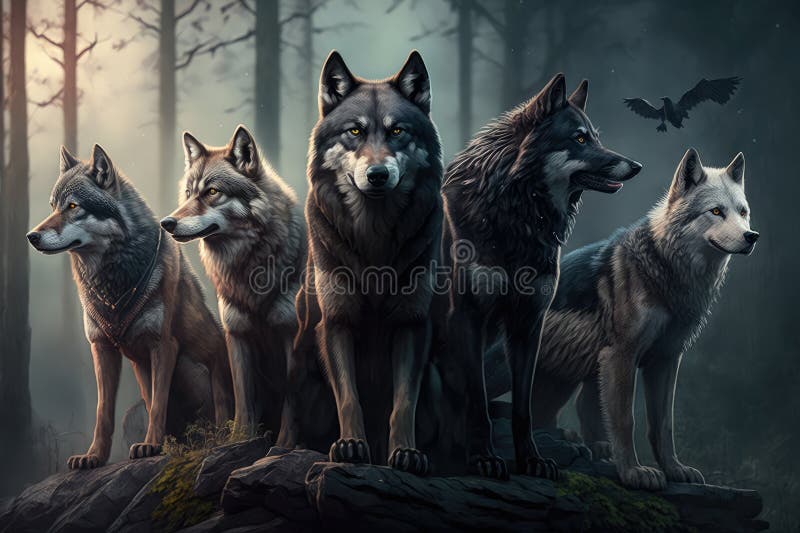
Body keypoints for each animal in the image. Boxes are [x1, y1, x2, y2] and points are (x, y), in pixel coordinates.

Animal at [27, 144, 234, 468]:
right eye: (52, 207)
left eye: (72, 207)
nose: (32, 236)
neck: (112, 284)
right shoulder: (102, 348)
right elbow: (104, 411)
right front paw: (94, 456)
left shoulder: (164, 344)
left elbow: (158, 404)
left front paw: (151, 445)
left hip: (198, 368)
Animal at [160, 125, 305, 436]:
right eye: (189, 193)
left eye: (212, 192)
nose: (166, 223)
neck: (248, 266)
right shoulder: (236, 334)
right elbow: (242, 398)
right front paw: (240, 437)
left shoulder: (291, 332)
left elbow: (291, 400)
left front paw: (286, 442)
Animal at [277, 50, 443, 475]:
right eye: (354, 132)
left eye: (398, 131)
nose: (378, 174)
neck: (375, 241)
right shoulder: (335, 323)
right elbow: (349, 396)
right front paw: (351, 446)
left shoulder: (413, 325)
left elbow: (403, 402)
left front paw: (406, 454)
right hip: (299, 365)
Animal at [439, 74, 642, 480]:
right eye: (579, 138)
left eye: (595, 137)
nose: (636, 165)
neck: (516, 218)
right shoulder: (466, 317)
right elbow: (476, 402)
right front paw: (483, 457)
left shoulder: (529, 322)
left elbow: (523, 409)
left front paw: (531, 460)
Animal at [495, 148, 757, 490]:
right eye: (716, 211)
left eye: (743, 212)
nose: (751, 236)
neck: (666, 270)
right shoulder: (621, 356)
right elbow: (625, 420)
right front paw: (633, 472)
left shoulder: (666, 360)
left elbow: (663, 425)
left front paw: (674, 469)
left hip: (566, 378)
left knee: (552, 411)